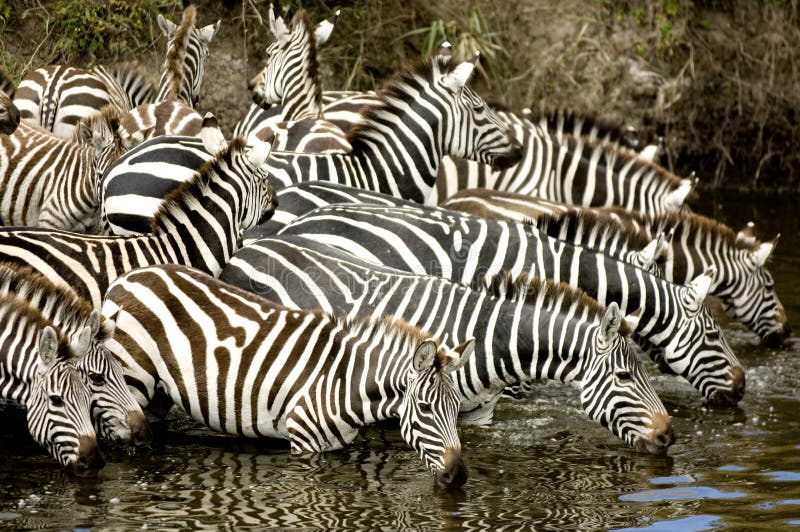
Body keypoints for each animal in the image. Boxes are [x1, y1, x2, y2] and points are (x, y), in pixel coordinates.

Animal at [100, 263, 475, 488]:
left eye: (457, 409)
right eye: (425, 409)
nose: (458, 476)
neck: (344, 381)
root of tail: (126, 277)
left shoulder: (336, 447)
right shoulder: (304, 444)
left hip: (158, 395)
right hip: (131, 381)